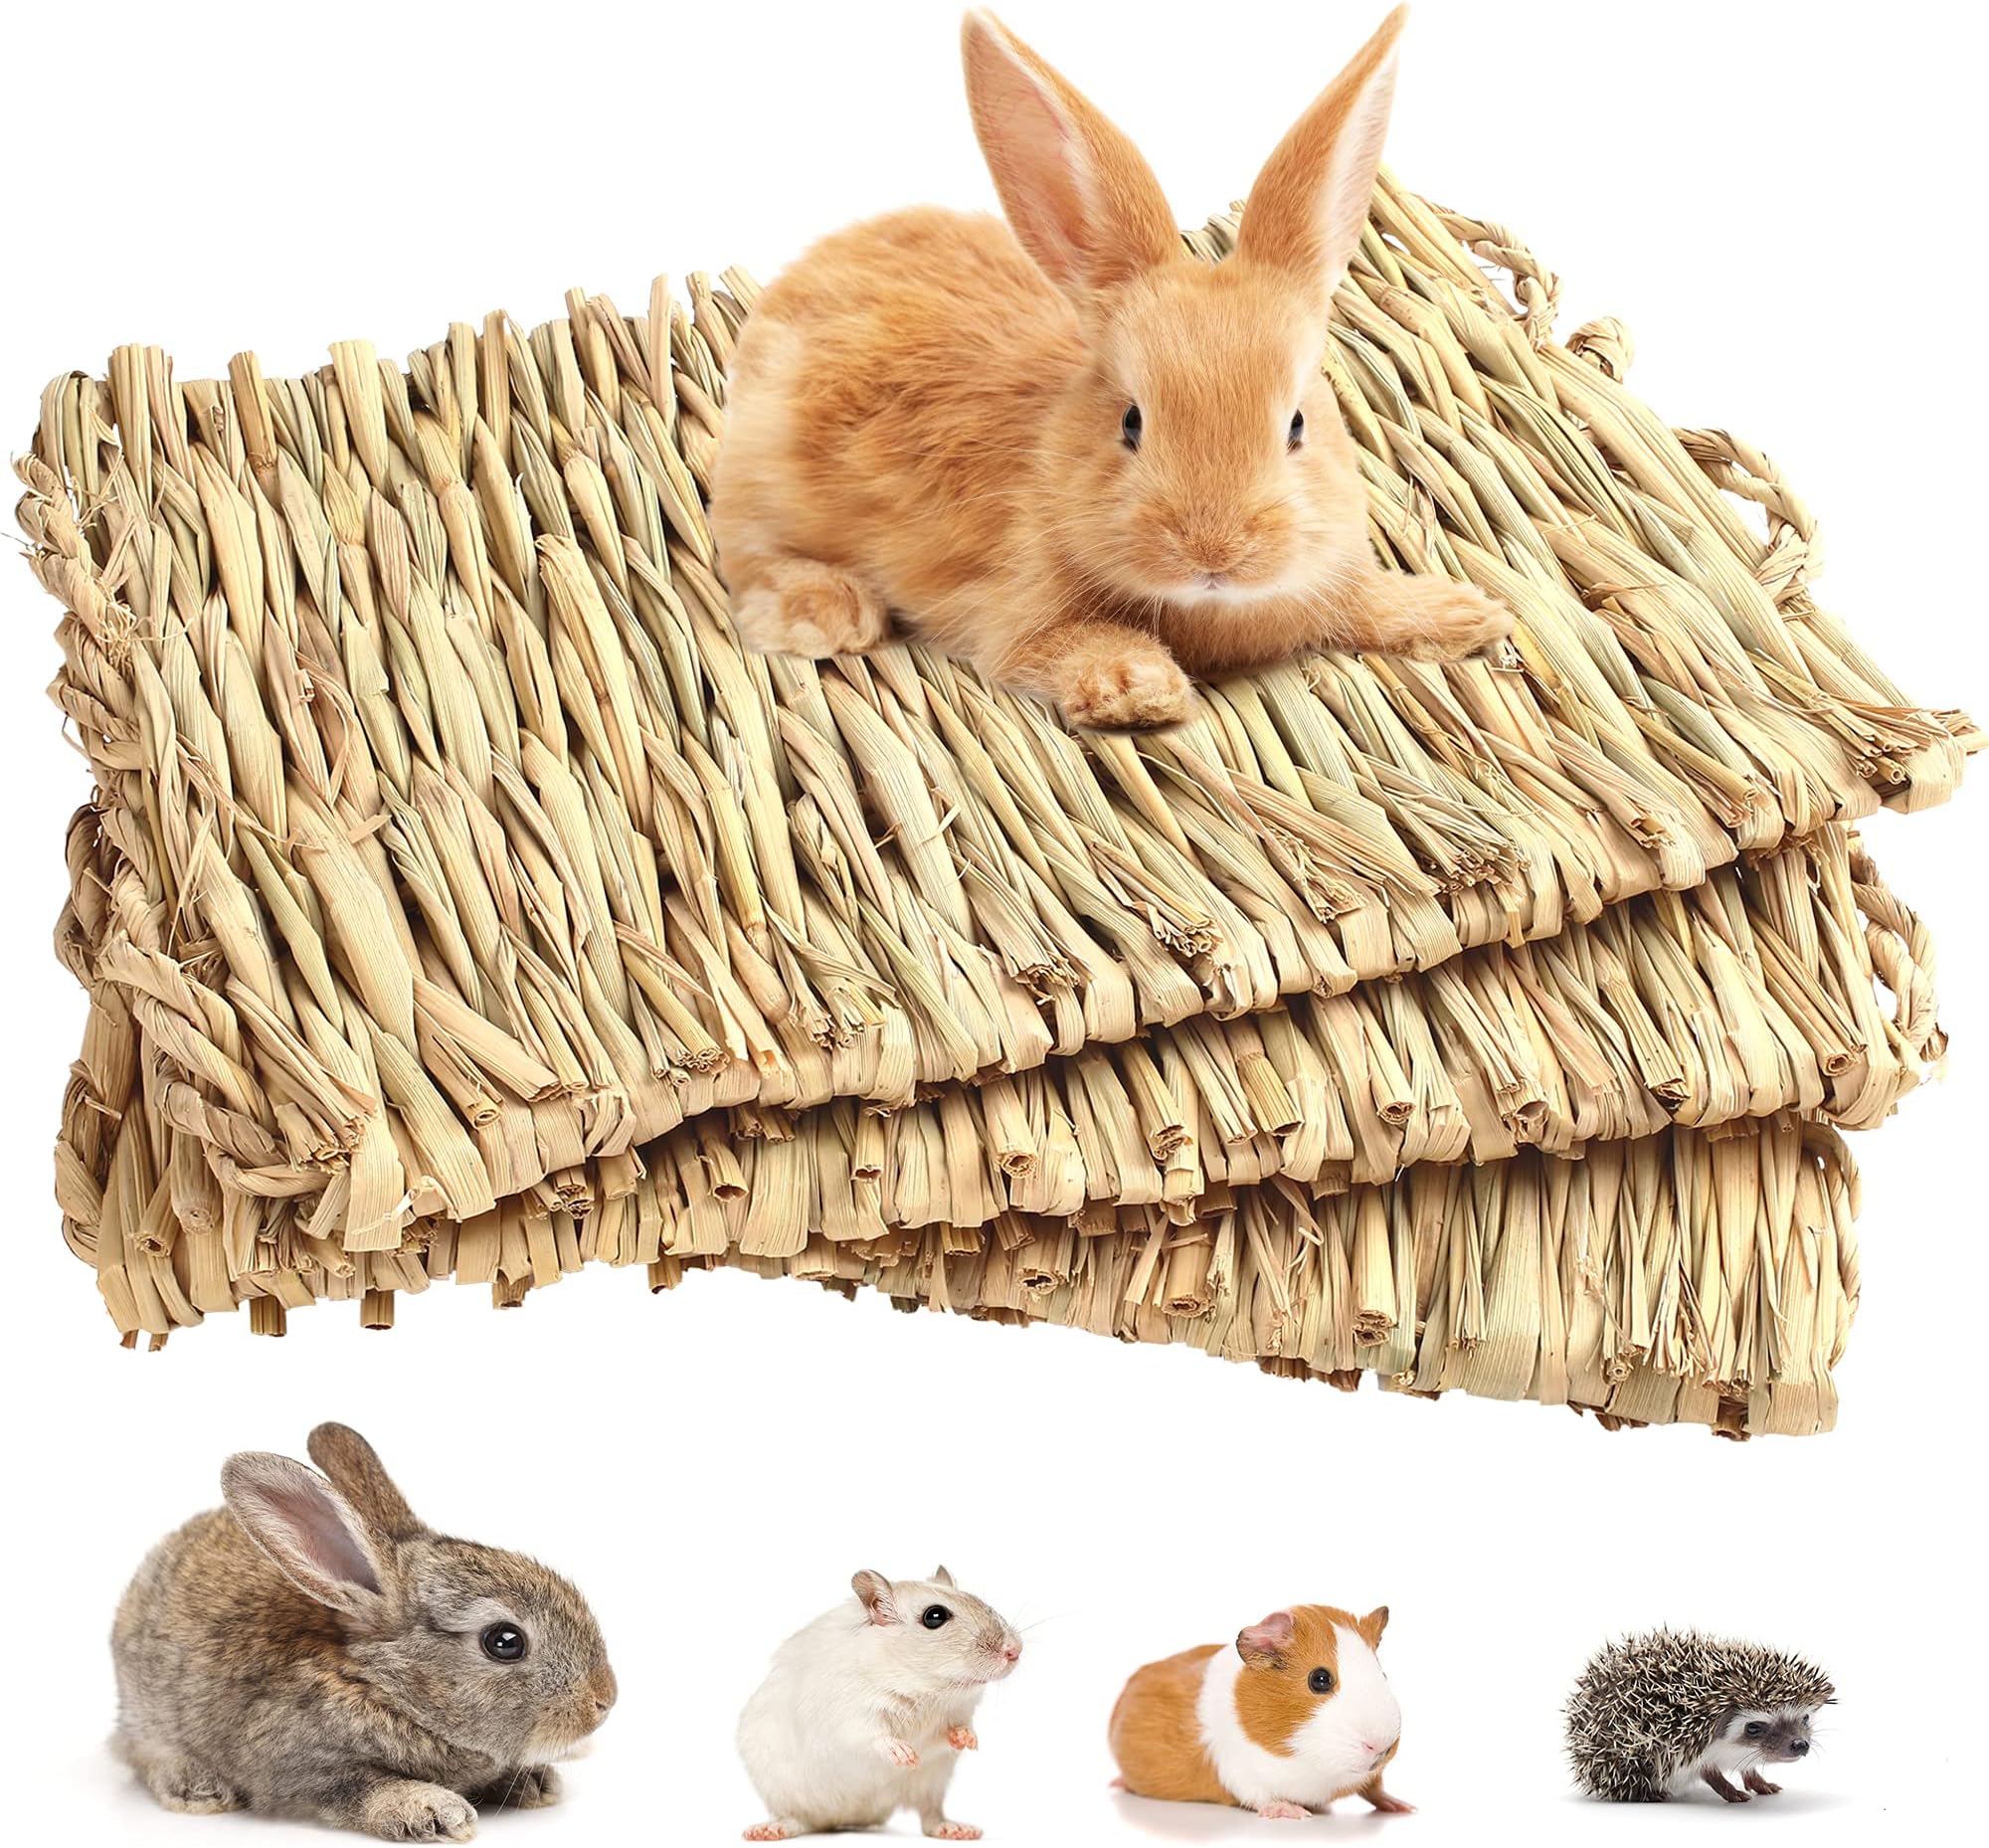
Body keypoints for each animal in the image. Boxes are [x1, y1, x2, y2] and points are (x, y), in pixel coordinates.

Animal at [110, 1422, 616, 1841]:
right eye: (504, 1642)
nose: (604, 1700)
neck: (378, 1684)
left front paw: (534, 1781)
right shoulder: (301, 1765)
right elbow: (358, 1789)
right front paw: (435, 1810)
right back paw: (196, 1786)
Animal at [709, 5, 1511, 731]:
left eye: (1297, 426)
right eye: (1131, 421)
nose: (1212, 550)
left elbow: (1364, 601)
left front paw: (1466, 614)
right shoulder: (1014, 618)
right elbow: (1063, 643)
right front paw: (1137, 685)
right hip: (762, 476)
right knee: (748, 554)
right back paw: (826, 614)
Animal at [736, 1566, 1023, 1840]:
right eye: (935, 1616)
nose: (1015, 1651)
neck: (924, 1689)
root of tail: (846, 1816)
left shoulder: (955, 1714)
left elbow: (951, 1732)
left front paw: (969, 1740)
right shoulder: (851, 1715)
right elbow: (872, 1737)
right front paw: (905, 1755)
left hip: (931, 1783)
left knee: (930, 1815)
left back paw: (956, 1830)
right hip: (784, 1789)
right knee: (797, 1818)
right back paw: (766, 1831)